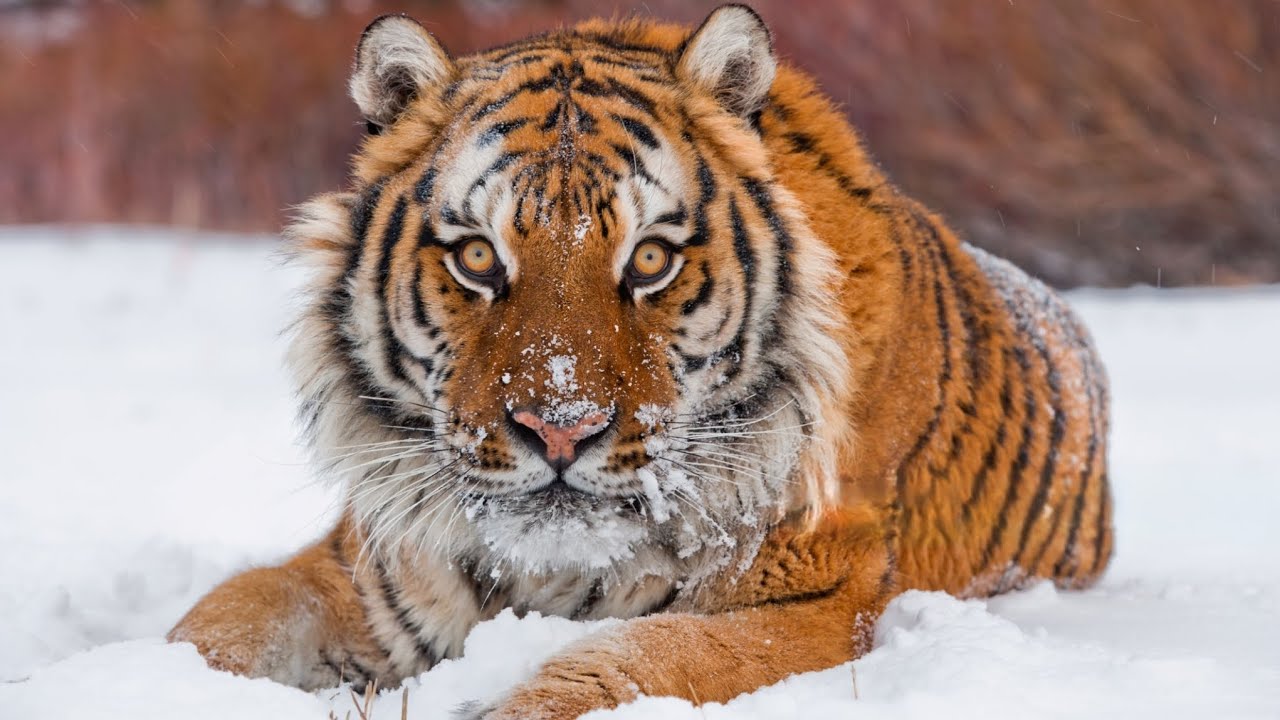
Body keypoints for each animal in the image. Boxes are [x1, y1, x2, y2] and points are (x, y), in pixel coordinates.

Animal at [168, 5, 1113, 718]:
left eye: (650, 259)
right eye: (477, 258)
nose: (559, 428)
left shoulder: (815, 599)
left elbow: (625, 666)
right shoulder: (358, 566)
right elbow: (218, 625)